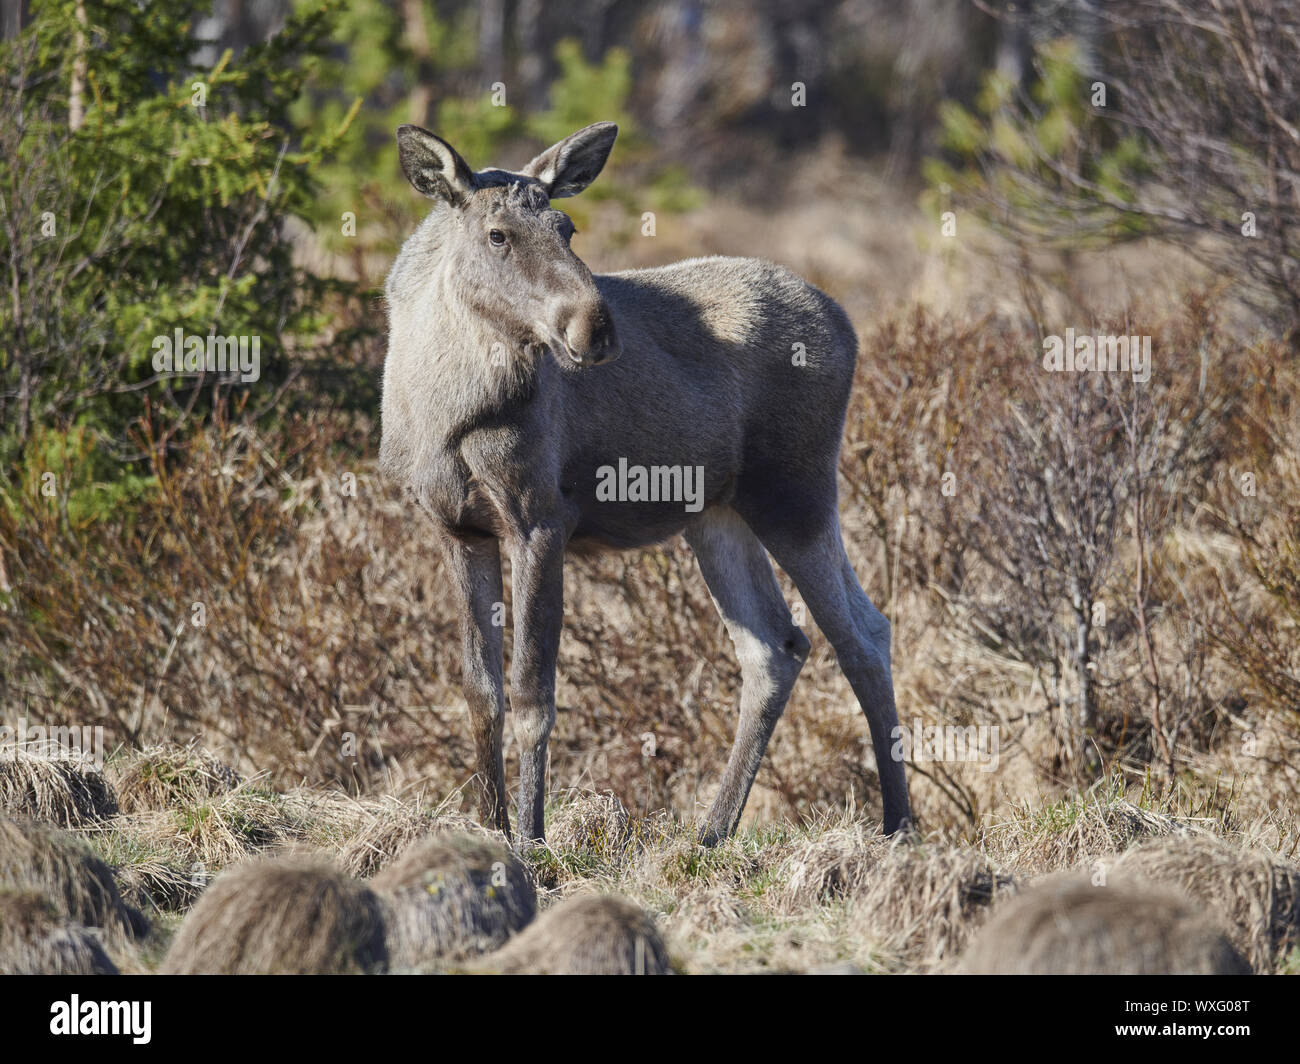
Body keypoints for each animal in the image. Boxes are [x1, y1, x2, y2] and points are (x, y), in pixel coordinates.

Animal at [380, 120, 912, 848]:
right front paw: (487, 830)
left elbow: (533, 695)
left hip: (796, 492)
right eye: (498, 235)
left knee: (862, 633)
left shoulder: (541, 518)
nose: (595, 326)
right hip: (718, 515)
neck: (442, 410)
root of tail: (848, 324)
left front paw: (532, 839)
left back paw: (899, 825)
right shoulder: (457, 528)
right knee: (776, 646)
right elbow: (481, 693)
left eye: (568, 227)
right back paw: (712, 831)